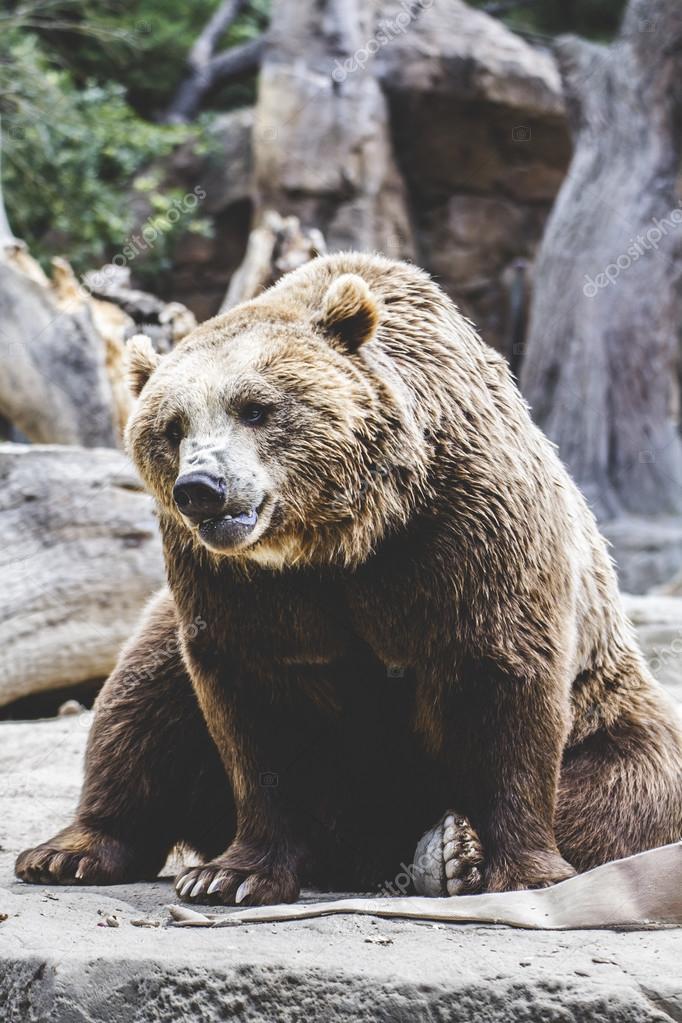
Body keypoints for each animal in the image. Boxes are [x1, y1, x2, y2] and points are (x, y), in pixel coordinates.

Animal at [16, 252, 682, 905]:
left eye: (255, 408)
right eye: (173, 427)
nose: (203, 488)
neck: (340, 537)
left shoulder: (465, 526)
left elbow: (504, 676)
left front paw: (524, 871)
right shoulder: (233, 582)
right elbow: (254, 705)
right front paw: (231, 875)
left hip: (613, 706)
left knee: (634, 789)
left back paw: (449, 850)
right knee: (142, 699)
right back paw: (67, 853)